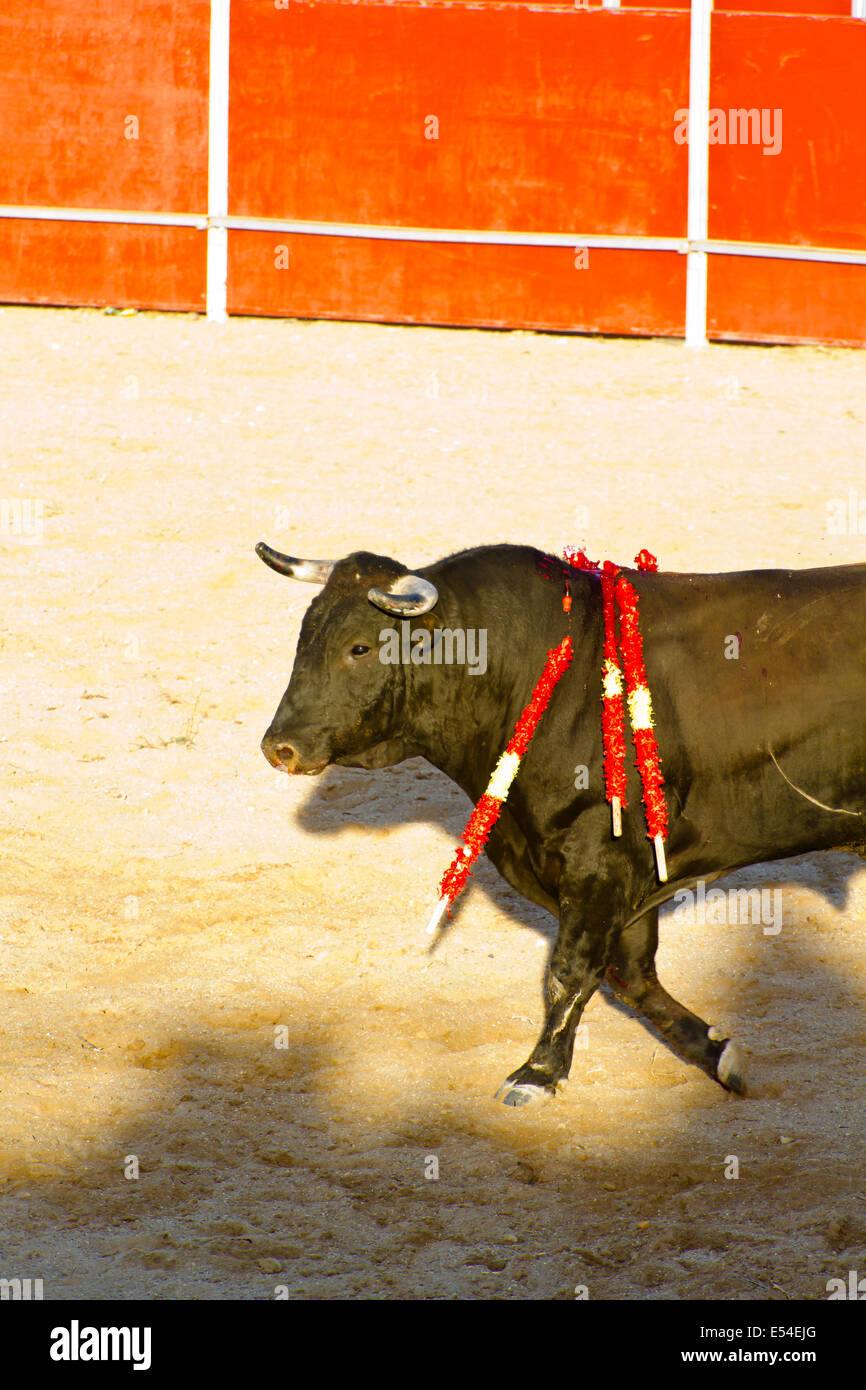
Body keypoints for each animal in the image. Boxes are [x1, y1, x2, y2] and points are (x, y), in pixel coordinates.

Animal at [257, 540, 866, 1106]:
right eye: (303, 638)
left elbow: (570, 970)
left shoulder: (601, 859)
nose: (279, 747)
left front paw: (536, 1073)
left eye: (360, 647)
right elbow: (630, 975)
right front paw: (721, 1054)